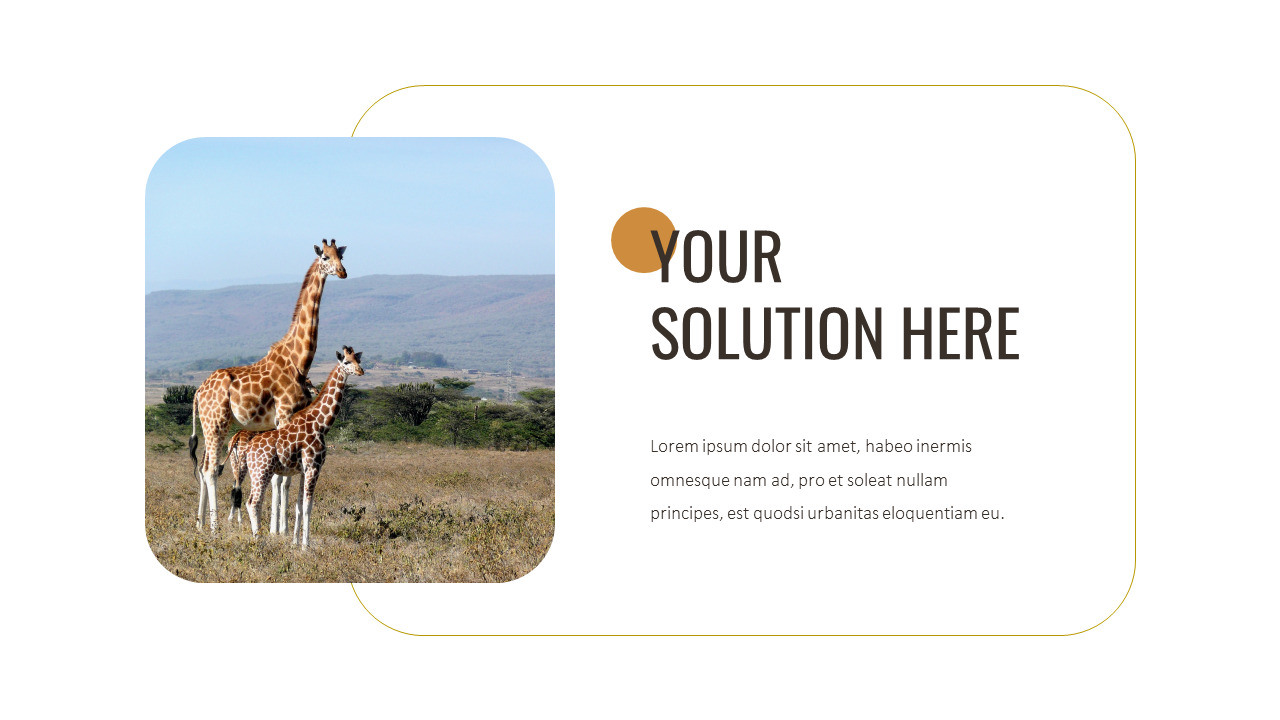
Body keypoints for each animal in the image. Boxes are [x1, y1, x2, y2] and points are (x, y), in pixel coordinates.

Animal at [188, 240, 348, 533]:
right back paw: (215, 527)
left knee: (204, 467)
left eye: (341, 256)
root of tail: (198, 392)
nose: (342, 272)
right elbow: (280, 478)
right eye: (325, 257)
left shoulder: (286, 421)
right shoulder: (284, 415)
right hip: (218, 422)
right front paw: (279, 530)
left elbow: (281, 477)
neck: (299, 360)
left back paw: (200, 524)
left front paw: (278, 528)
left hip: (208, 424)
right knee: (210, 470)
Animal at [235, 346, 365, 548]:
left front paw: (295, 542)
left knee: (255, 501)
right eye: (346, 362)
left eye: (358, 360)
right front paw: (306, 545)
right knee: (253, 502)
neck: (321, 424)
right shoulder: (314, 466)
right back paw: (259, 539)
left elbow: (298, 505)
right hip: (261, 470)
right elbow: (308, 506)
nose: (361, 371)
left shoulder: (304, 470)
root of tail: (248, 448)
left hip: (258, 471)